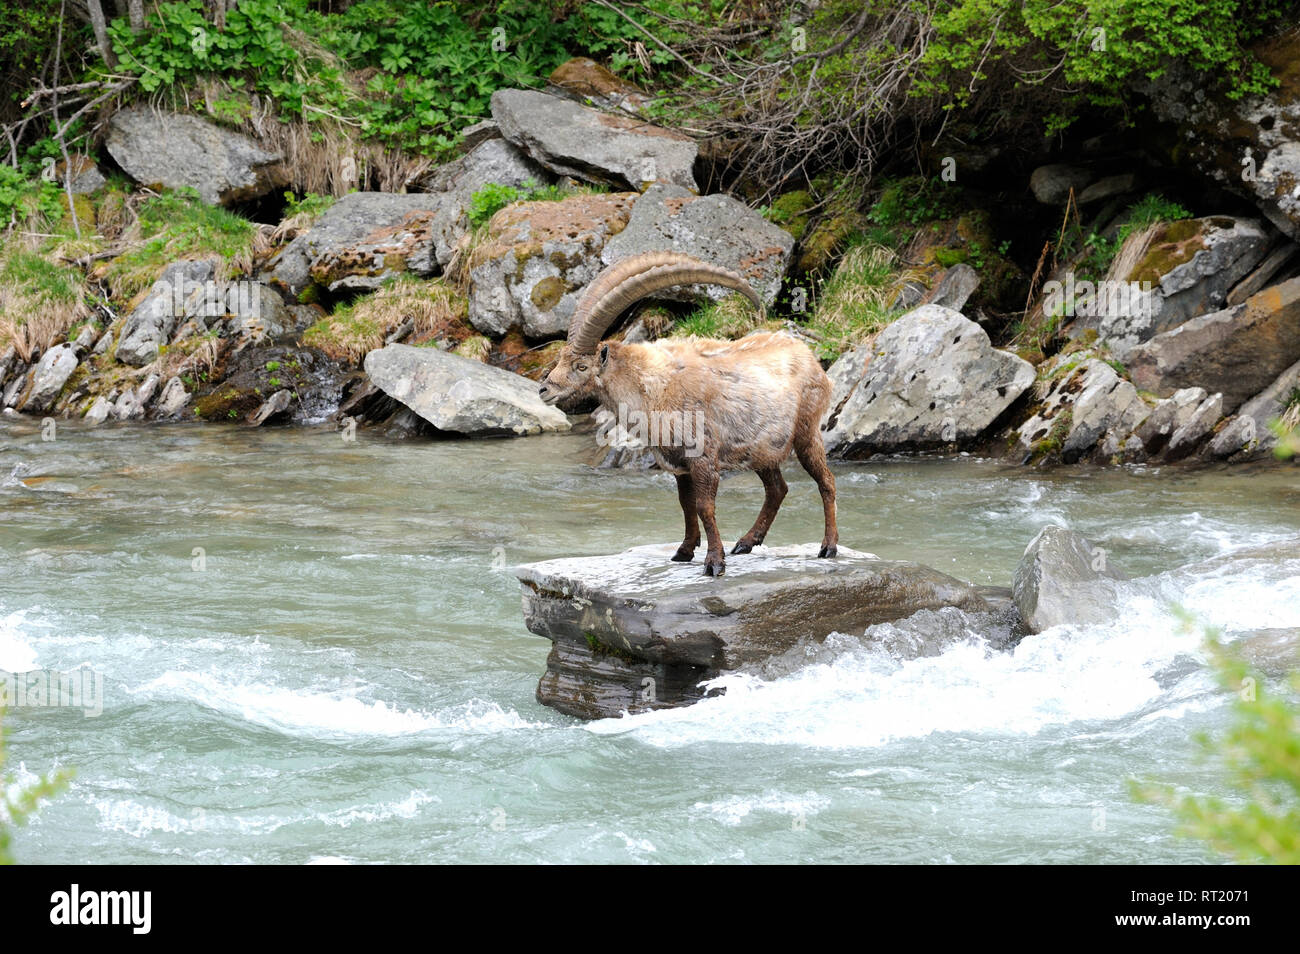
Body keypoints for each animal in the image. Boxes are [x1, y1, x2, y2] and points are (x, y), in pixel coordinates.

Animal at [539, 251, 838, 576]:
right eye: (560, 358)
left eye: (581, 366)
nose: (544, 390)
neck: (654, 388)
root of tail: (811, 359)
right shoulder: (677, 463)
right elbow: (686, 504)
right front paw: (684, 551)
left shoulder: (704, 457)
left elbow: (705, 506)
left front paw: (714, 562)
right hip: (762, 449)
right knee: (777, 489)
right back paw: (746, 542)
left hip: (806, 432)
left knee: (826, 481)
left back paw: (828, 547)